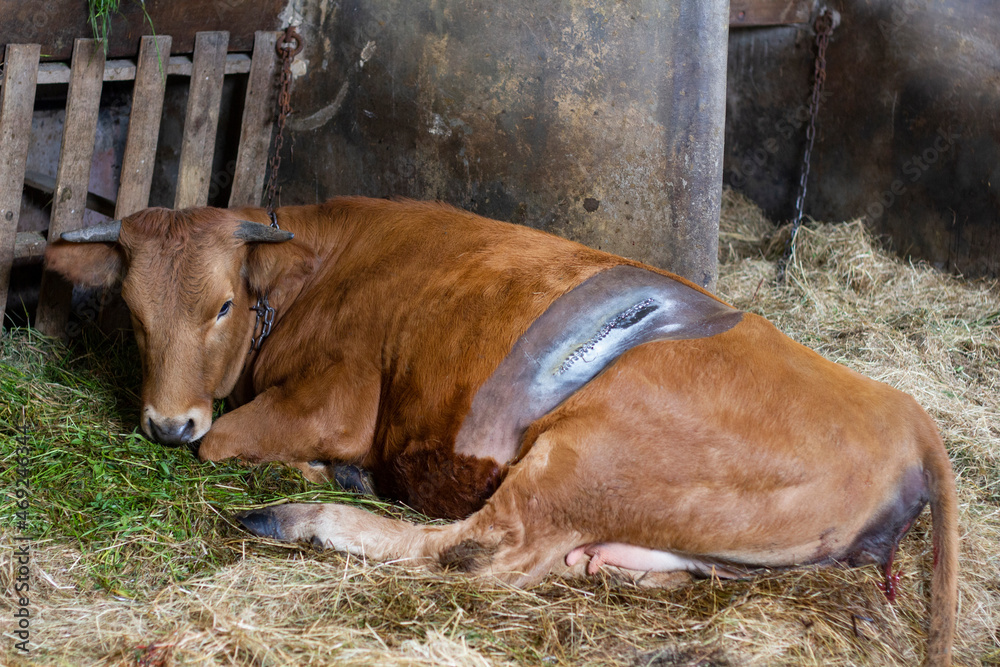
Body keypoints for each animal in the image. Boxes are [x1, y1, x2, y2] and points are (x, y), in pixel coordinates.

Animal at [45, 197, 957, 666]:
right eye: (132, 312)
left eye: (223, 305)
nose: (165, 422)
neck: (321, 266)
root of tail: (902, 409)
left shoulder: (333, 402)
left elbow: (226, 440)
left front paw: (312, 473)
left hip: (583, 450)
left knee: (476, 550)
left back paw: (297, 514)